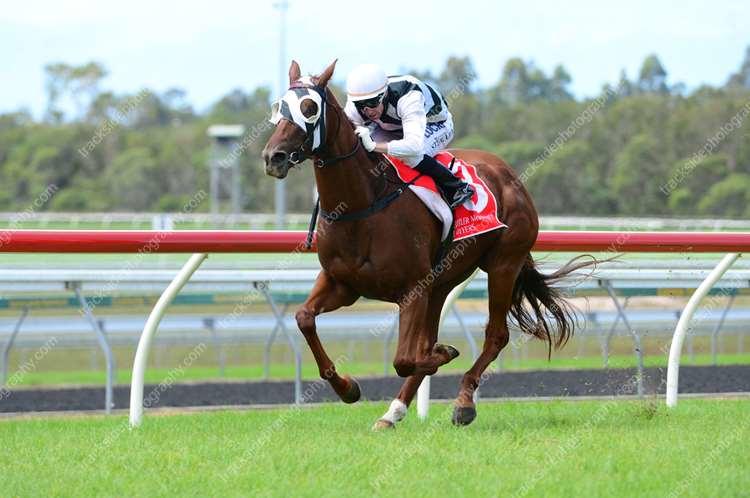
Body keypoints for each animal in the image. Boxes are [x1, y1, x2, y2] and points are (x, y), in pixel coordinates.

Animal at [262, 60, 588, 429]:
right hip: (443, 281)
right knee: (432, 337)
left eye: (309, 108)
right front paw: (348, 388)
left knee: (496, 335)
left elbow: (405, 358)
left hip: (503, 264)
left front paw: (444, 354)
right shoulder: (342, 284)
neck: (363, 204)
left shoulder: (412, 290)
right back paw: (393, 412)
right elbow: (304, 318)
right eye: (279, 106)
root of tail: (509, 174)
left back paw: (463, 402)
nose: (273, 157)